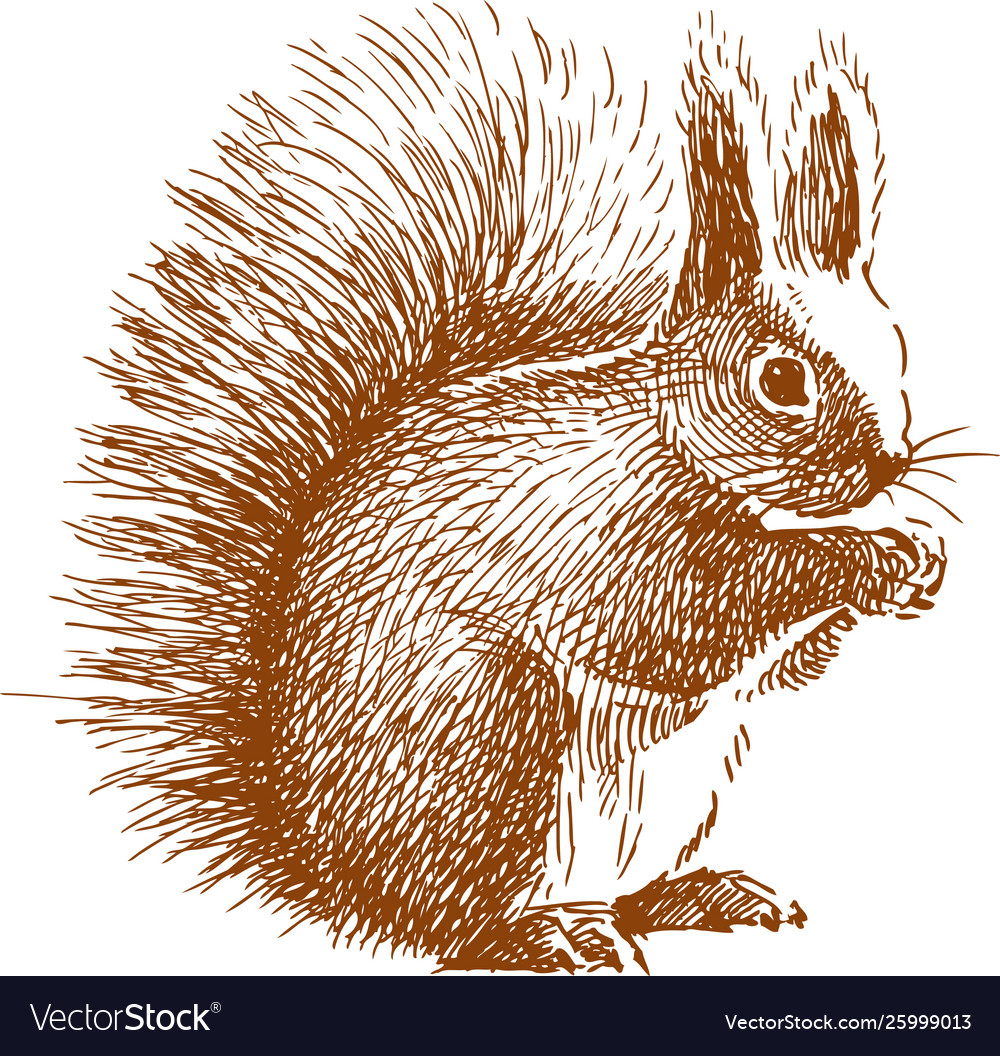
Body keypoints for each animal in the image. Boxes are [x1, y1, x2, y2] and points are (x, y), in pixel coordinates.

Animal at [74, 6, 952, 973]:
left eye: (898, 352)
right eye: (781, 380)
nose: (887, 467)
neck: (685, 448)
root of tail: (322, 854)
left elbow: (784, 662)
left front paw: (919, 555)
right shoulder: (614, 543)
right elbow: (692, 616)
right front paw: (864, 559)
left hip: (669, 792)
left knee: (619, 895)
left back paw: (695, 897)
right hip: (497, 740)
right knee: (452, 923)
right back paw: (546, 936)